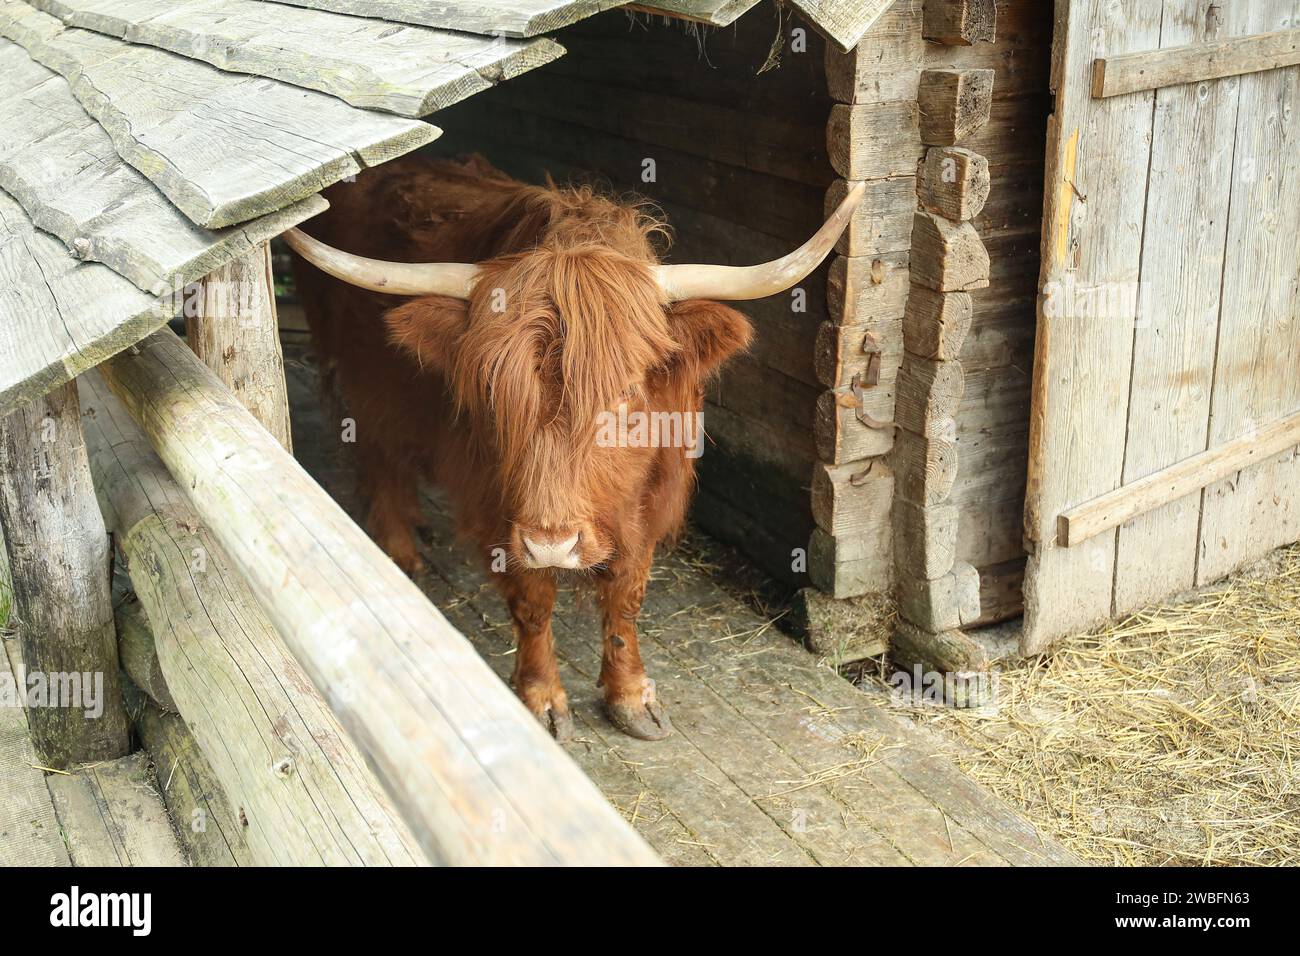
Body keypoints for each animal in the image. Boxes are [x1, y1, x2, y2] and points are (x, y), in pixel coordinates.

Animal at [287, 154, 863, 742]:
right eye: (493, 392)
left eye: (627, 392)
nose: (553, 543)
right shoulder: (502, 508)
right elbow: (533, 599)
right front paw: (542, 697)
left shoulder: (649, 499)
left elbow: (627, 594)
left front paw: (630, 695)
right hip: (362, 379)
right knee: (377, 454)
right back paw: (399, 550)